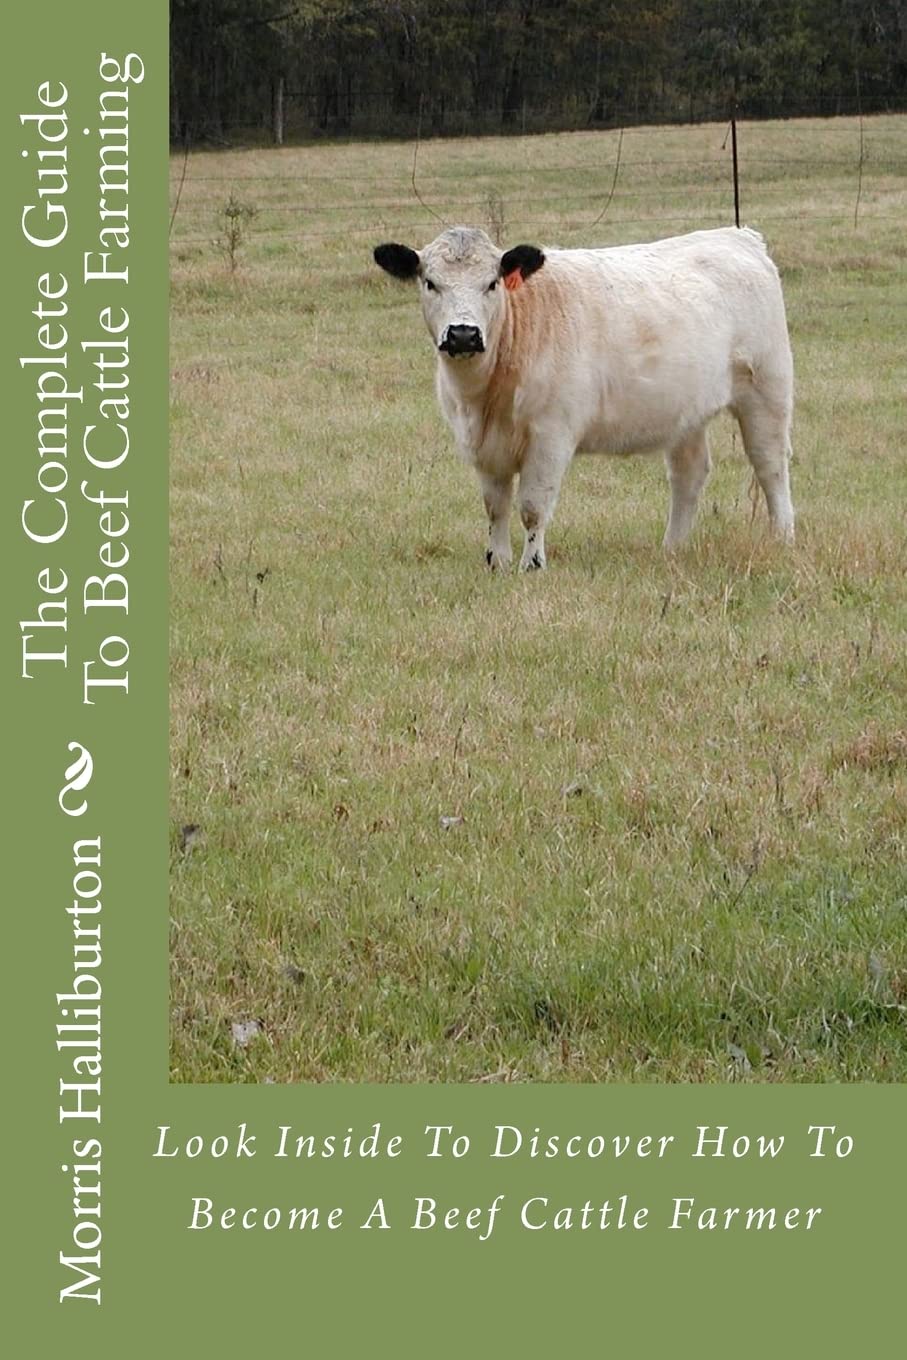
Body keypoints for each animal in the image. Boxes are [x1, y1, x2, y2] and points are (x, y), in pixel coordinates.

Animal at [373, 225, 795, 571]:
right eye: (430, 282)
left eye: (492, 283)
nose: (463, 334)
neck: (484, 397)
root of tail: (736, 235)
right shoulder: (483, 445)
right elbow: (495, 506)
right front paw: (498, 562)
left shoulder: (551, 436)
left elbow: (532, 507)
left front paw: (532, 565)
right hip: (685, 411)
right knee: (689, 474)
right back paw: (672, 548)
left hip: (767, 390)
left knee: (770, 466)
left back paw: (783, 537)